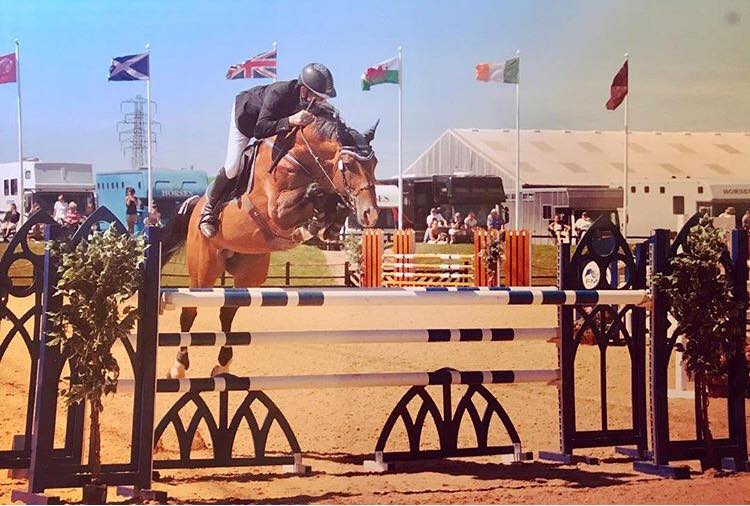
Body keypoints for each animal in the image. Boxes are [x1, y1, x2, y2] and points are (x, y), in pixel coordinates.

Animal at [161, 103, 380, 378]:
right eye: (348, 165)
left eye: (375, 163)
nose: (370, 214)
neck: (300, 158)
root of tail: (194, 204)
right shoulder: (277, 210)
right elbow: (314, 192)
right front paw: (311, 223)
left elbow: (331, 203)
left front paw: (324, 226)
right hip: (204, 268)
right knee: (190, 310)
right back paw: (178, 366)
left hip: (249, 271)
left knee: (228, 311)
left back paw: (222, 364)